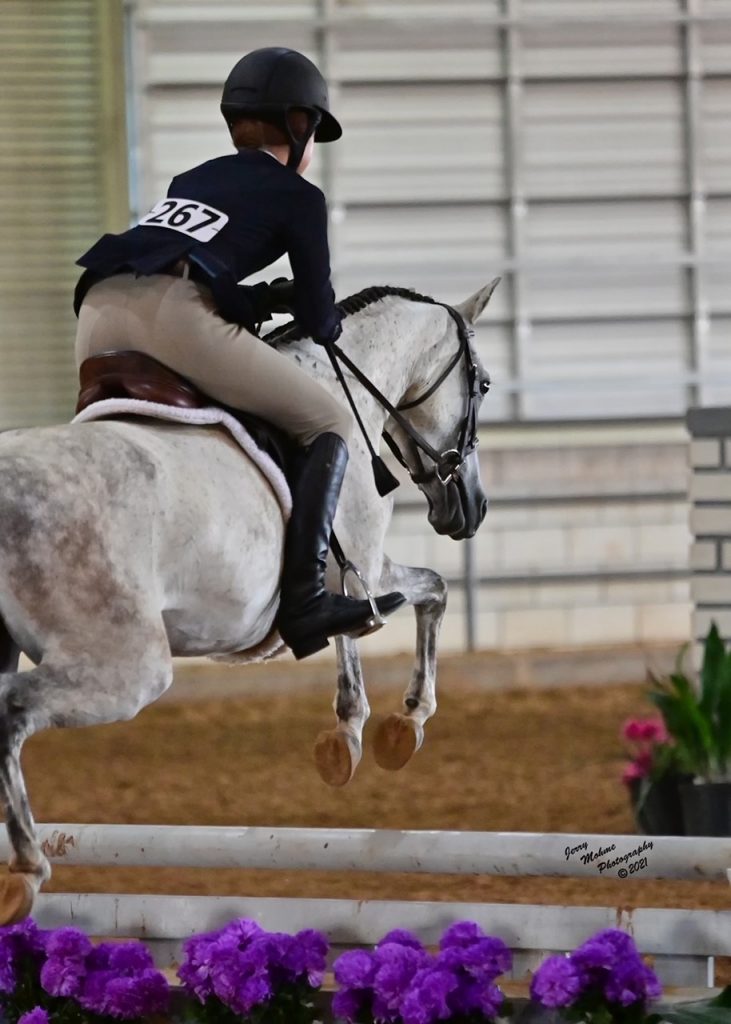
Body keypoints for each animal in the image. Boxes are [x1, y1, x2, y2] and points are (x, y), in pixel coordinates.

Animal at [0, 278, 497, 923]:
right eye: (483, 386)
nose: (473, 508)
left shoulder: (347, 571)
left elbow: (369, 619)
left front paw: (355, 734)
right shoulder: (363, 565)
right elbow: (426, 593)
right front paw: (400, 723)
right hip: (125, 667)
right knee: (12, 709)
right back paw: (26, 869)